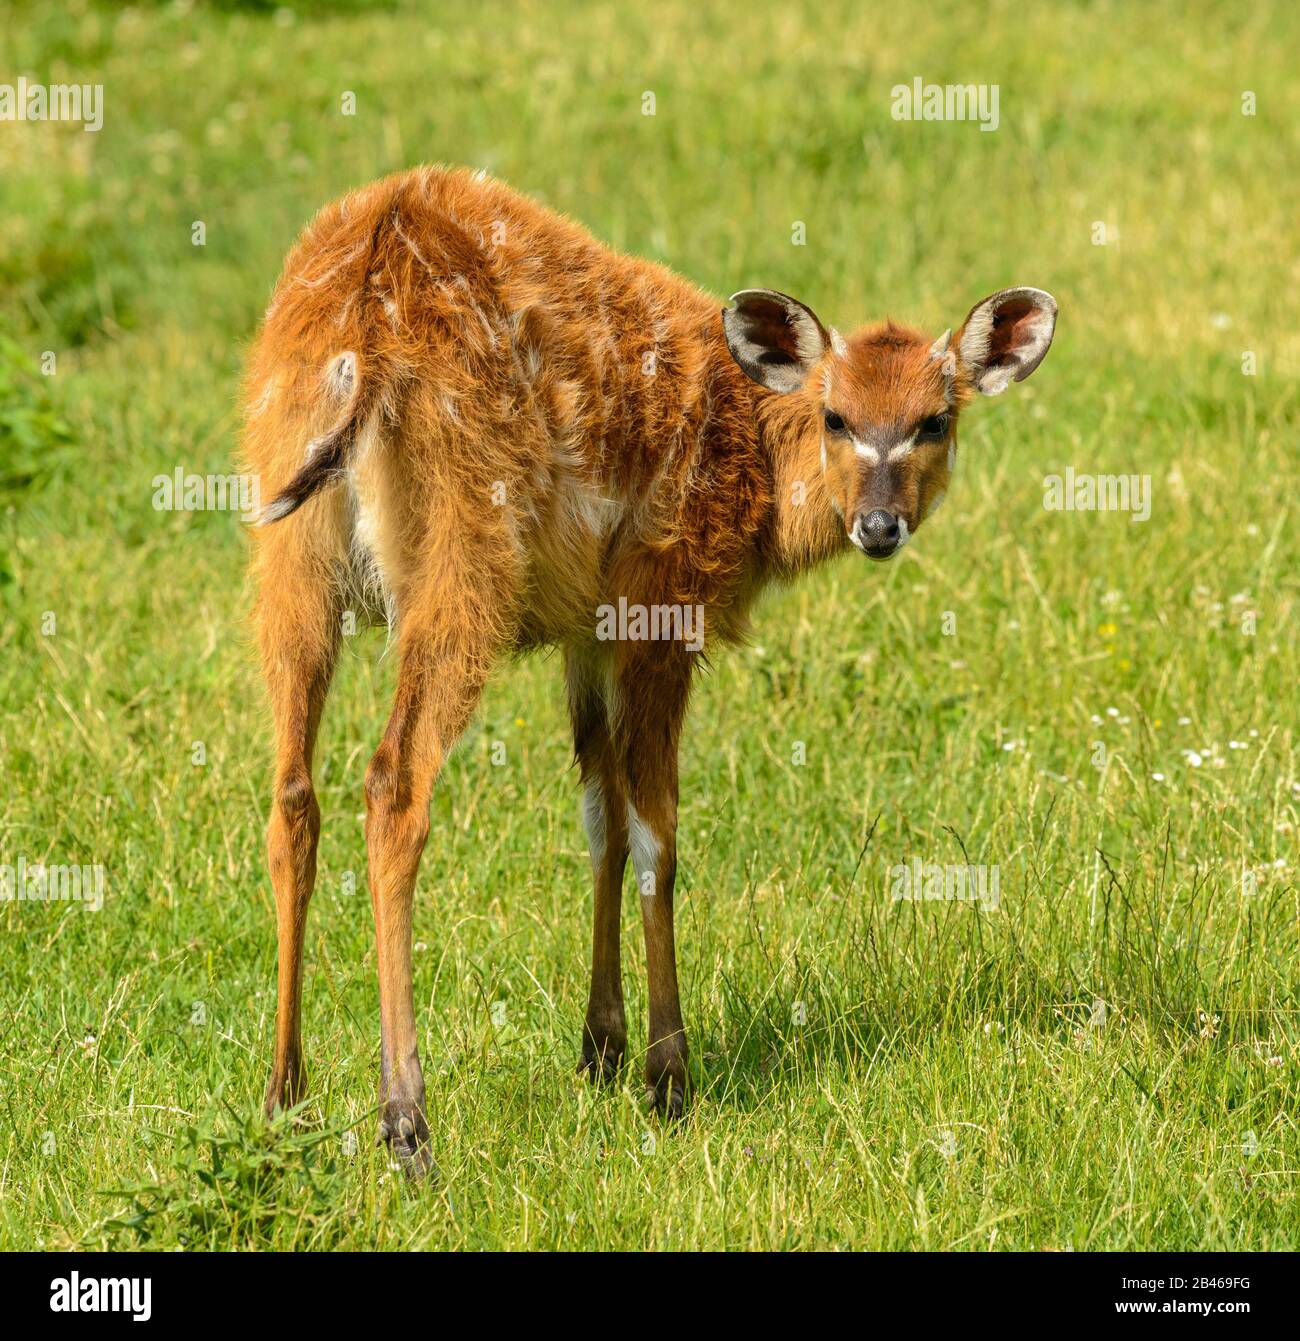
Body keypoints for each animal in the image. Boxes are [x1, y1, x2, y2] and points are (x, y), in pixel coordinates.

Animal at [245, 165, 1057, 1174]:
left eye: (934, 419)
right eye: (837, 415)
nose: (879, 525)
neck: (757, 471)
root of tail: (366, 306)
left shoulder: (589, 630)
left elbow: (598, 811)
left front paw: (599, 1048)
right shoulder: (665, 604)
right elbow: (656, 833)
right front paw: (668, 1074)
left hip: (287, 554)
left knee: (292, 793)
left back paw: (285, 1096)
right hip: (461, 558)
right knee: (393, 782)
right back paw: (407, 1120)